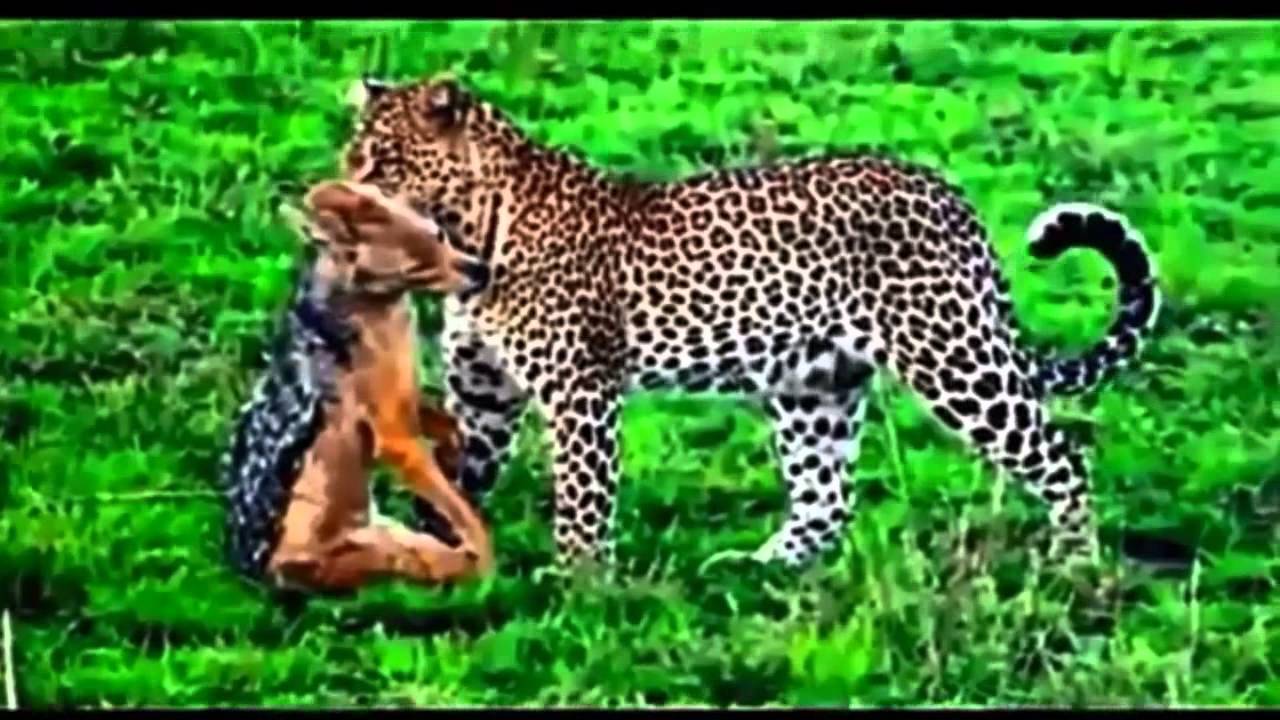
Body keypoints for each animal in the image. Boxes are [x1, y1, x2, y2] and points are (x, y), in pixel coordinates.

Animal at [336, 73, 1161, 575]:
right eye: (354, 155)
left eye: (383, 162)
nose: (340, 194)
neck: (469, 234)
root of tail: (951, 197)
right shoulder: (485, 395)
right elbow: (455, 476)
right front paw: (436, 554)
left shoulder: (581, 391)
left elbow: (582, 499)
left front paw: (581, 588)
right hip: (815, 388)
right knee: (826, 499)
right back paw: (755, 572)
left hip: (955, 358)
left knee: (1062, 456)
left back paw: (1077, 566)